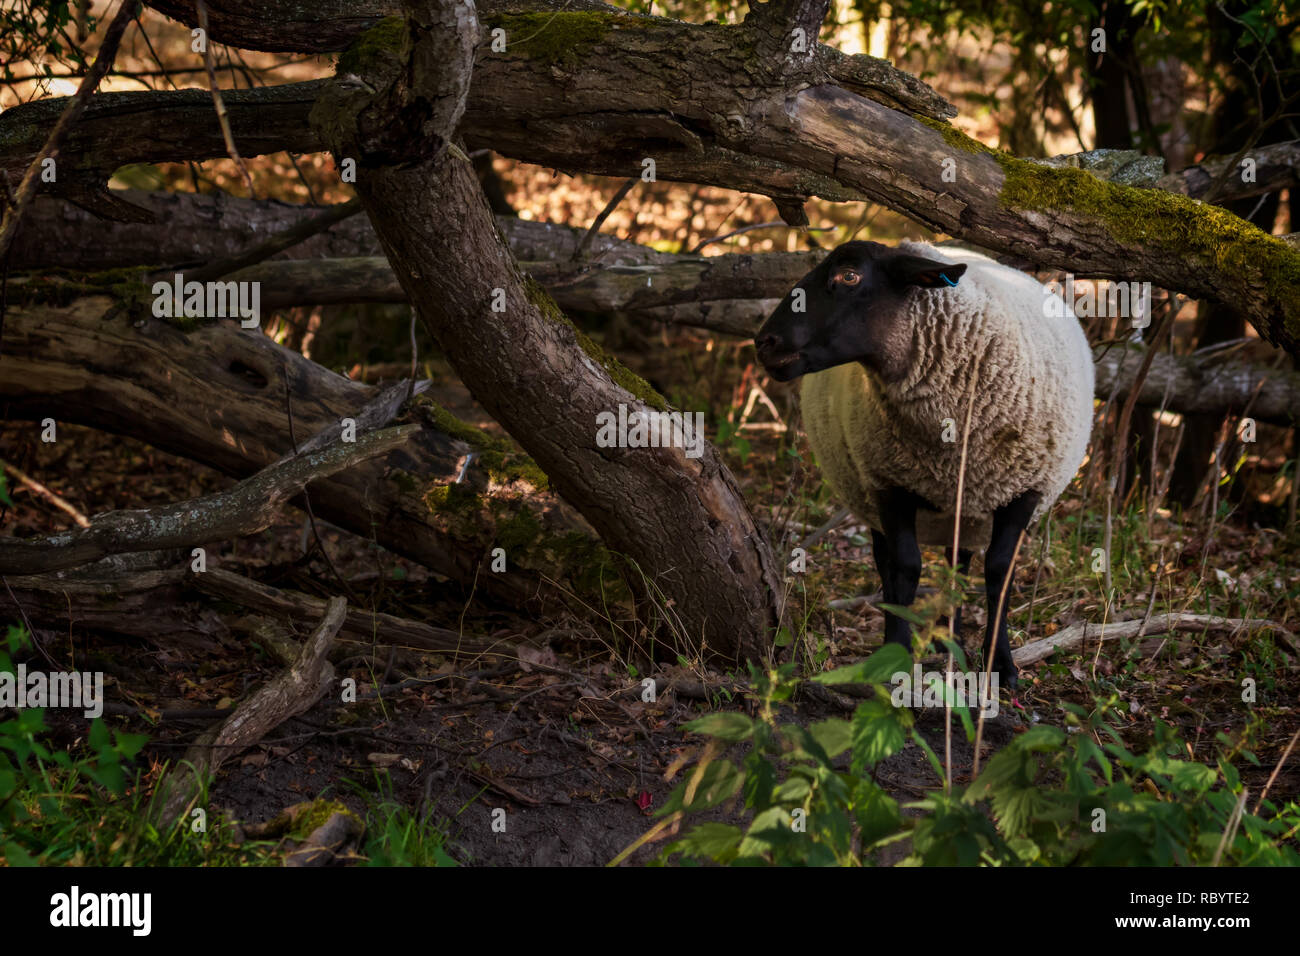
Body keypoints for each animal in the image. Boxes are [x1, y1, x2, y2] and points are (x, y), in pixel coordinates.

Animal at [754, 240, 1094, 688]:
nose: (764, 341)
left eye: (849, 275)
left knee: (958, 565)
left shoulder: (1025, 489)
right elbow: (904, 567)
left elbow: (999, 571)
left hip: (966, 507)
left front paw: (1001, 665)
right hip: (871, 491)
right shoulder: (887, 484)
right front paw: (893, 655)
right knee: (887, 561)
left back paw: (951, 637)